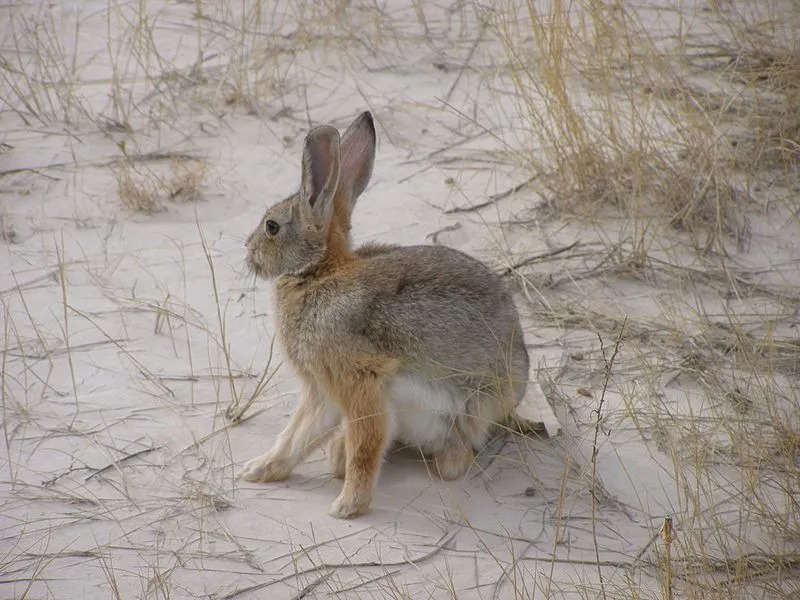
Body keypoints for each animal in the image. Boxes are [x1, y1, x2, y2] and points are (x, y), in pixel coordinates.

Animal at [238, 112, 528, 520]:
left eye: (272, 226)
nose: (249, 254)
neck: (319, 272)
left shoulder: (359, 379)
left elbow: (365, 444)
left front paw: (347, 507)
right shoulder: (322, 389)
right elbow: (296, 435)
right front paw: (258, 470)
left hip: (472, 405)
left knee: (454, 456)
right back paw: (336, 451)